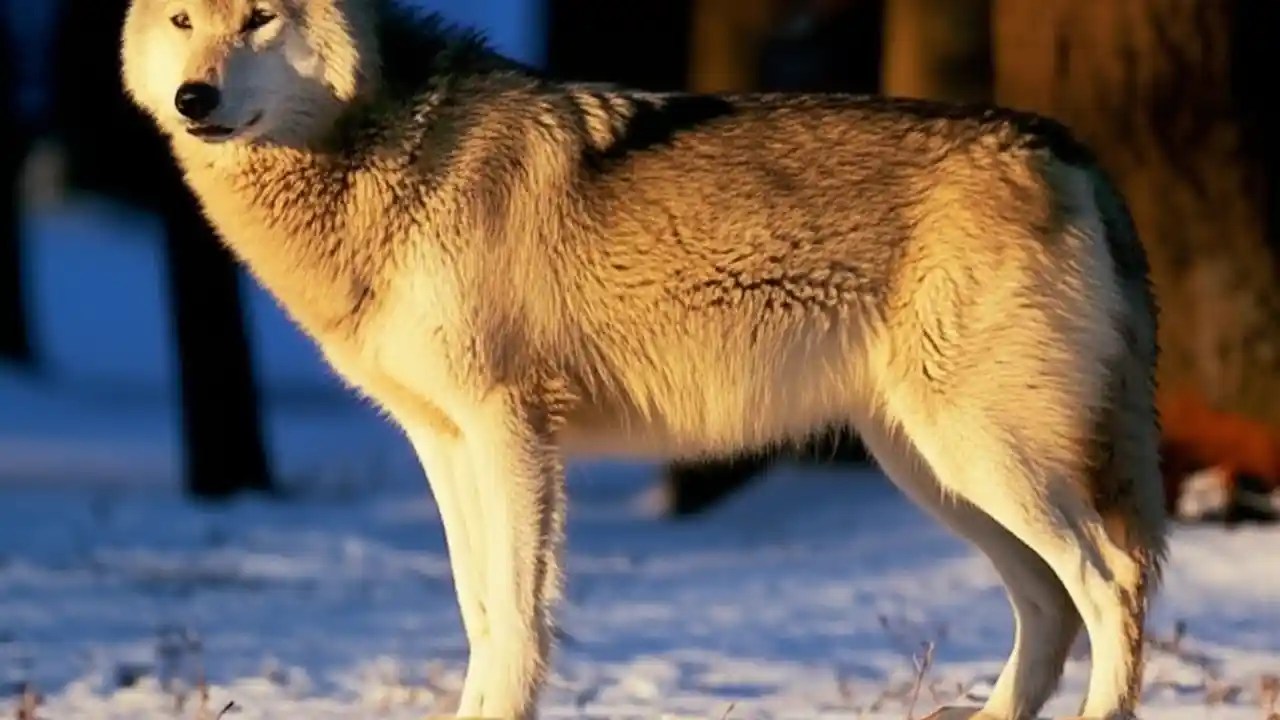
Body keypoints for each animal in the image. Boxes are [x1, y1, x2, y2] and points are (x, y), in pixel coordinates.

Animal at [118, 1, 1168, 718]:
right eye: (183, 17)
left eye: (262, 15)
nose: (194, 98)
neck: (380, 150)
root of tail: (1074, 152)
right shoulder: (443, 442)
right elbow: (479, 612)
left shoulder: (511, 430)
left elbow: (518, 617)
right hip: (934, 470)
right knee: (1051, 606)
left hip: (983, 458)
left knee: (1113, 580)